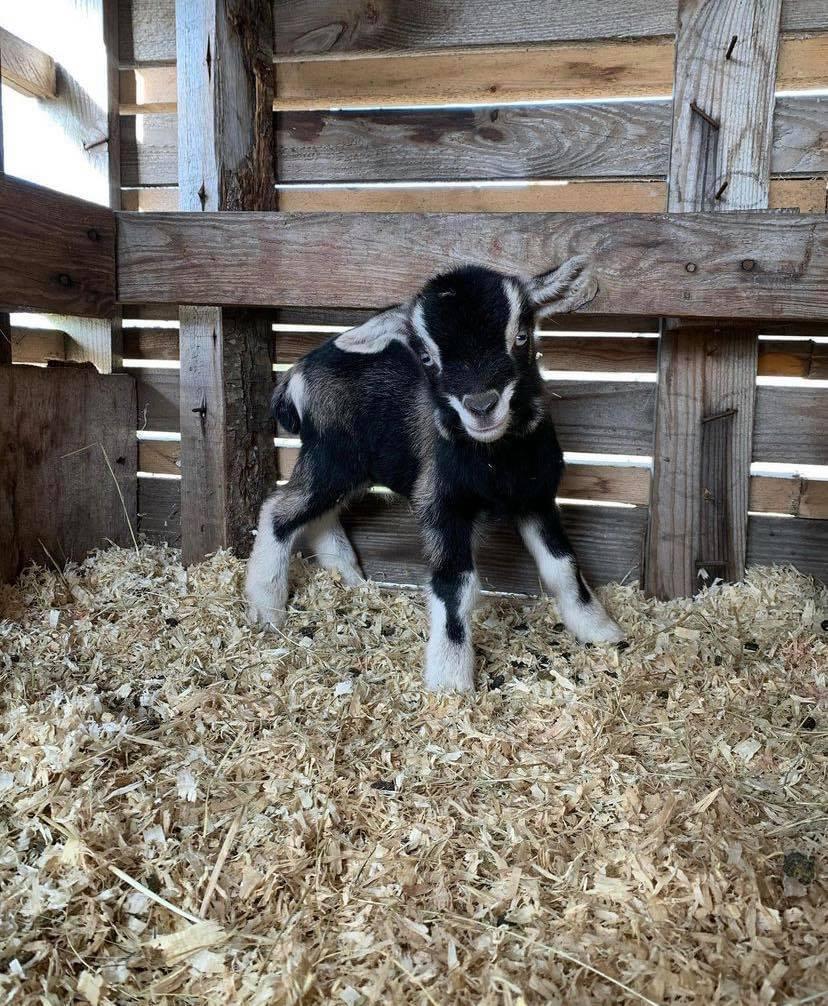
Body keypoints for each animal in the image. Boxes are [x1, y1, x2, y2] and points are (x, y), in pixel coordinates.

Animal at [245, 257, 624, 691]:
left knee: (319, 514)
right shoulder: (441, 504)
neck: (495, 461)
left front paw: (599, 630)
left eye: (521, 336)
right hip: (331, 458)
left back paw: (350, 579)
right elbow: (455, 584)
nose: (482, 406)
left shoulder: (536, 497)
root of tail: (296, 373)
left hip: (352, 469)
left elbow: (563, 566)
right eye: (426, 357)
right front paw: (450, 681)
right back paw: (265, 607)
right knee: (280, 510)